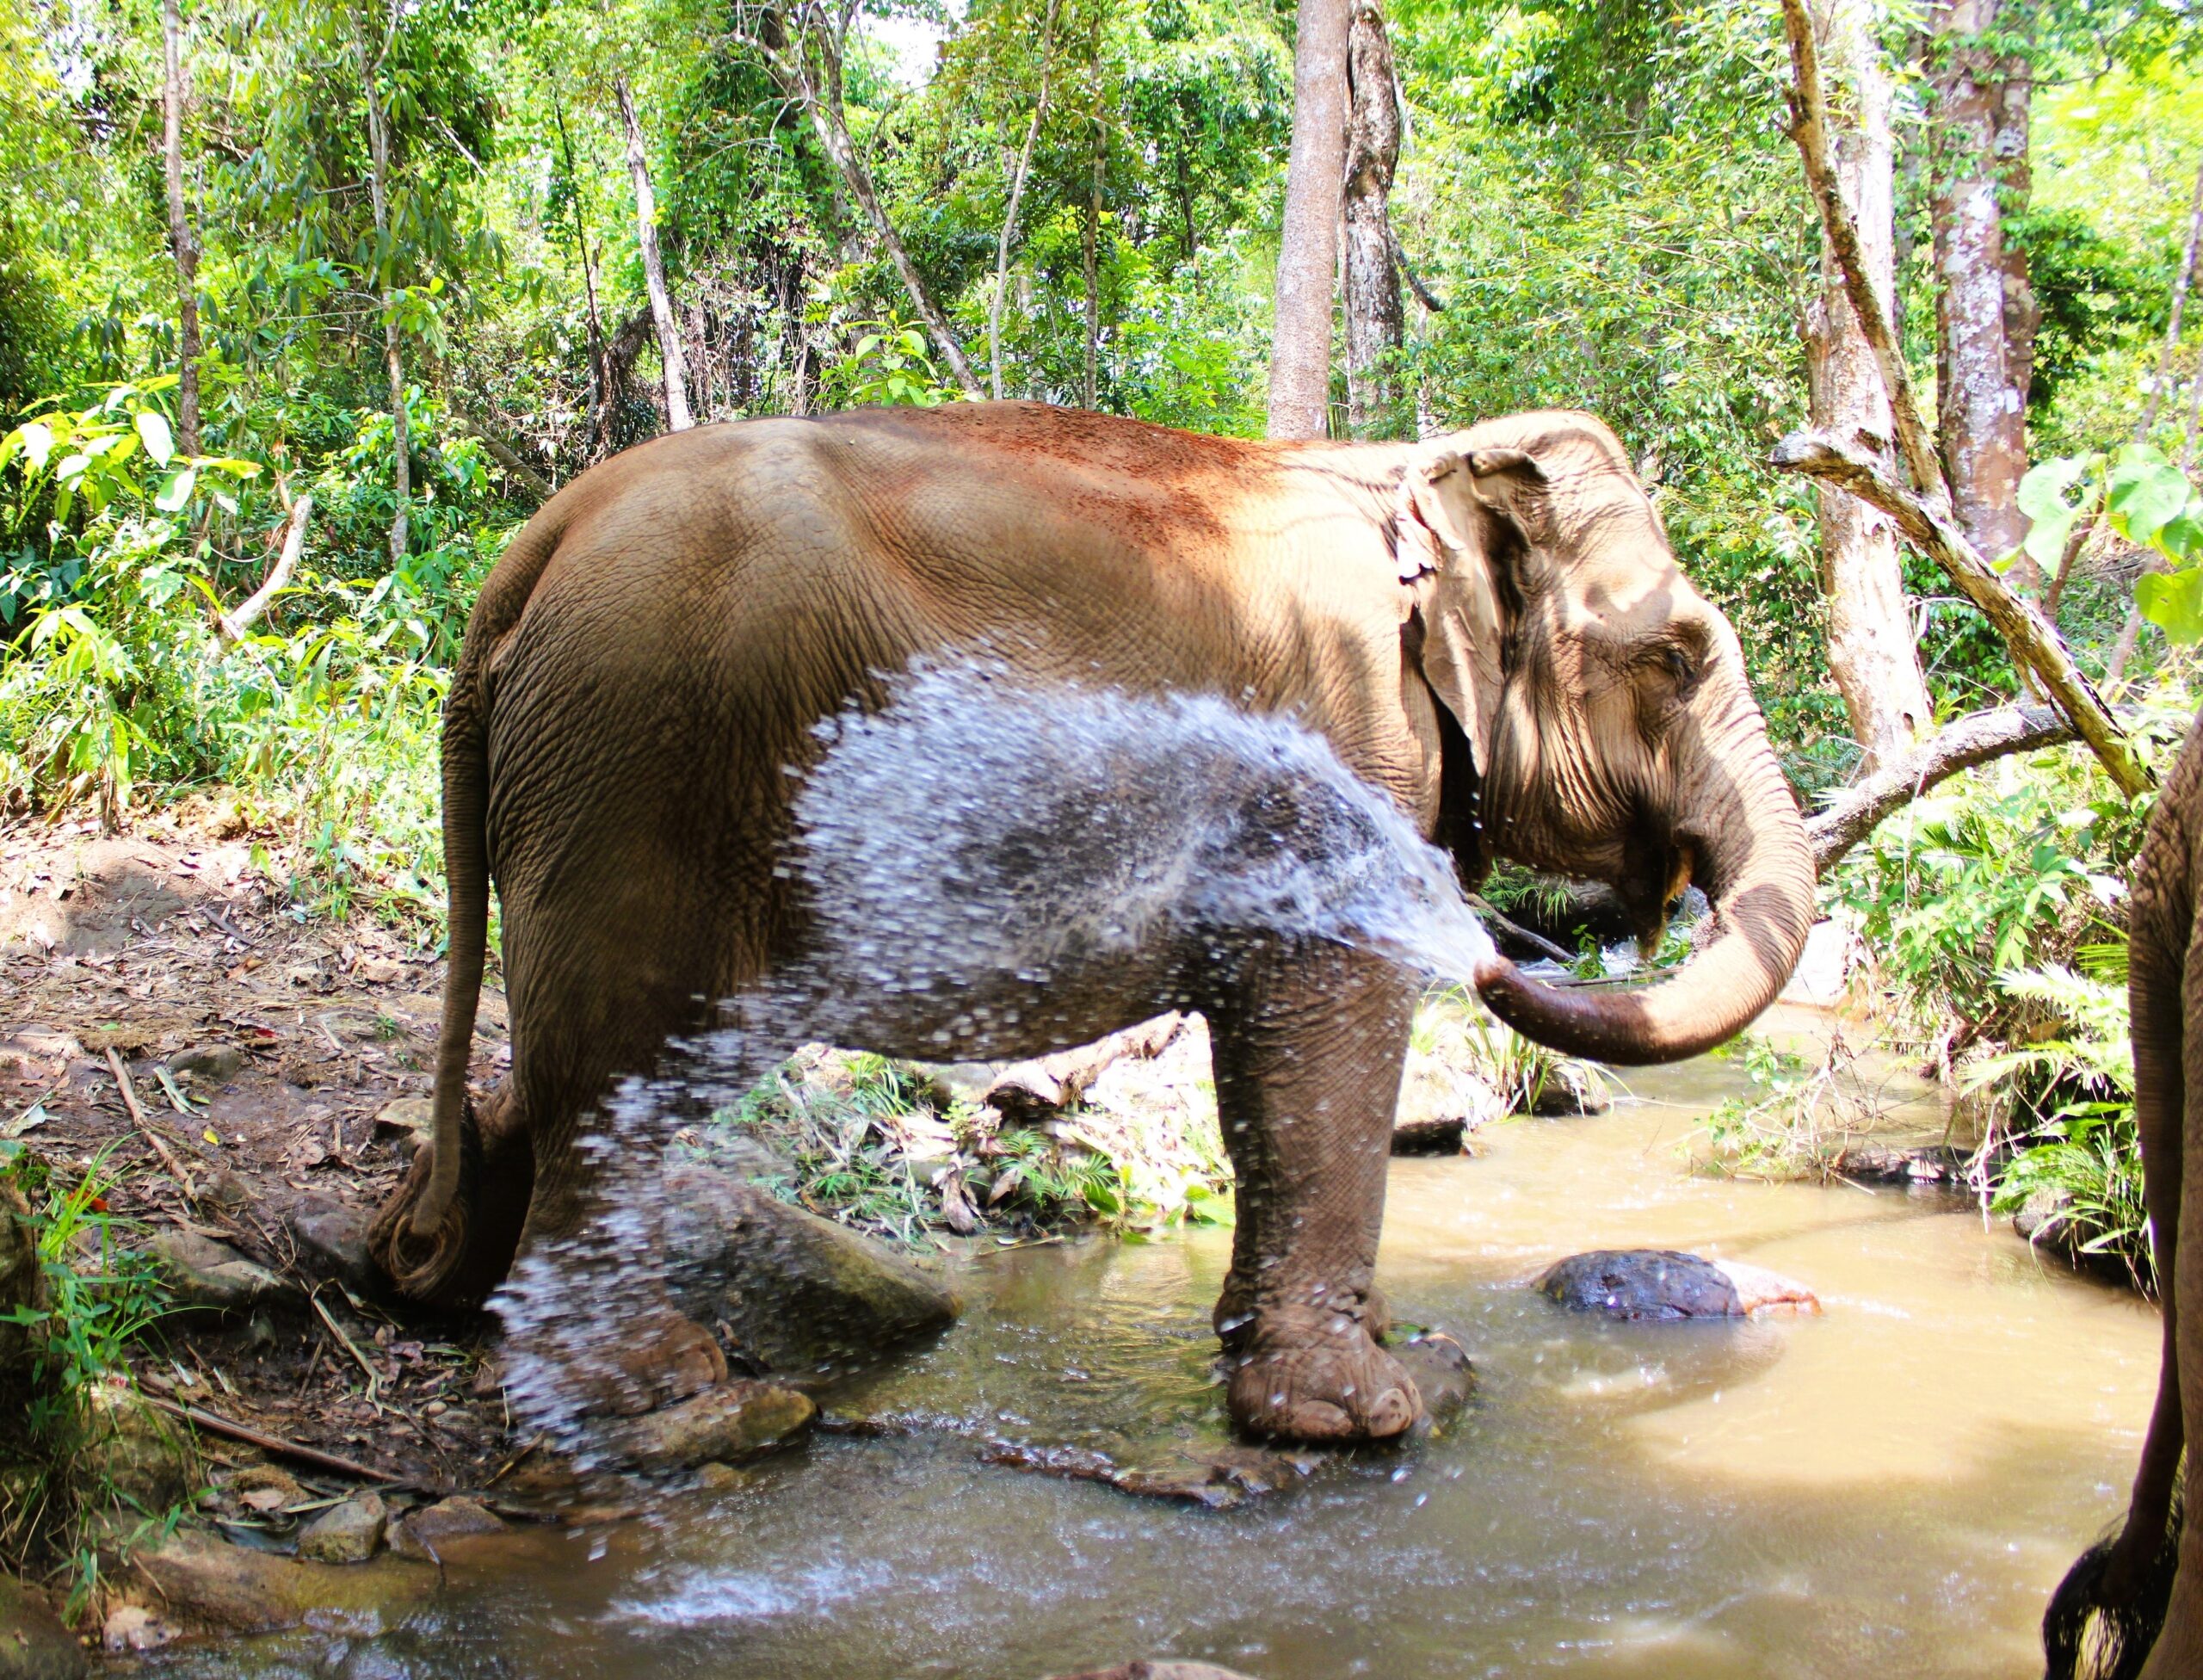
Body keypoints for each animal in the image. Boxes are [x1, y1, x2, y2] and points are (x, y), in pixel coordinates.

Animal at [365, 400, 1815, 1445]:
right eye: (1676, 656)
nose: (1515, 953)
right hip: (639, 773)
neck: (1410, 467)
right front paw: (1372, 1414)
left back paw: (444, 1278)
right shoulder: (1343, 753)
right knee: (619, 1075)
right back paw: (652, 1386)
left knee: (583, 1066)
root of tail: (523, 560)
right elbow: (1327, 1020)